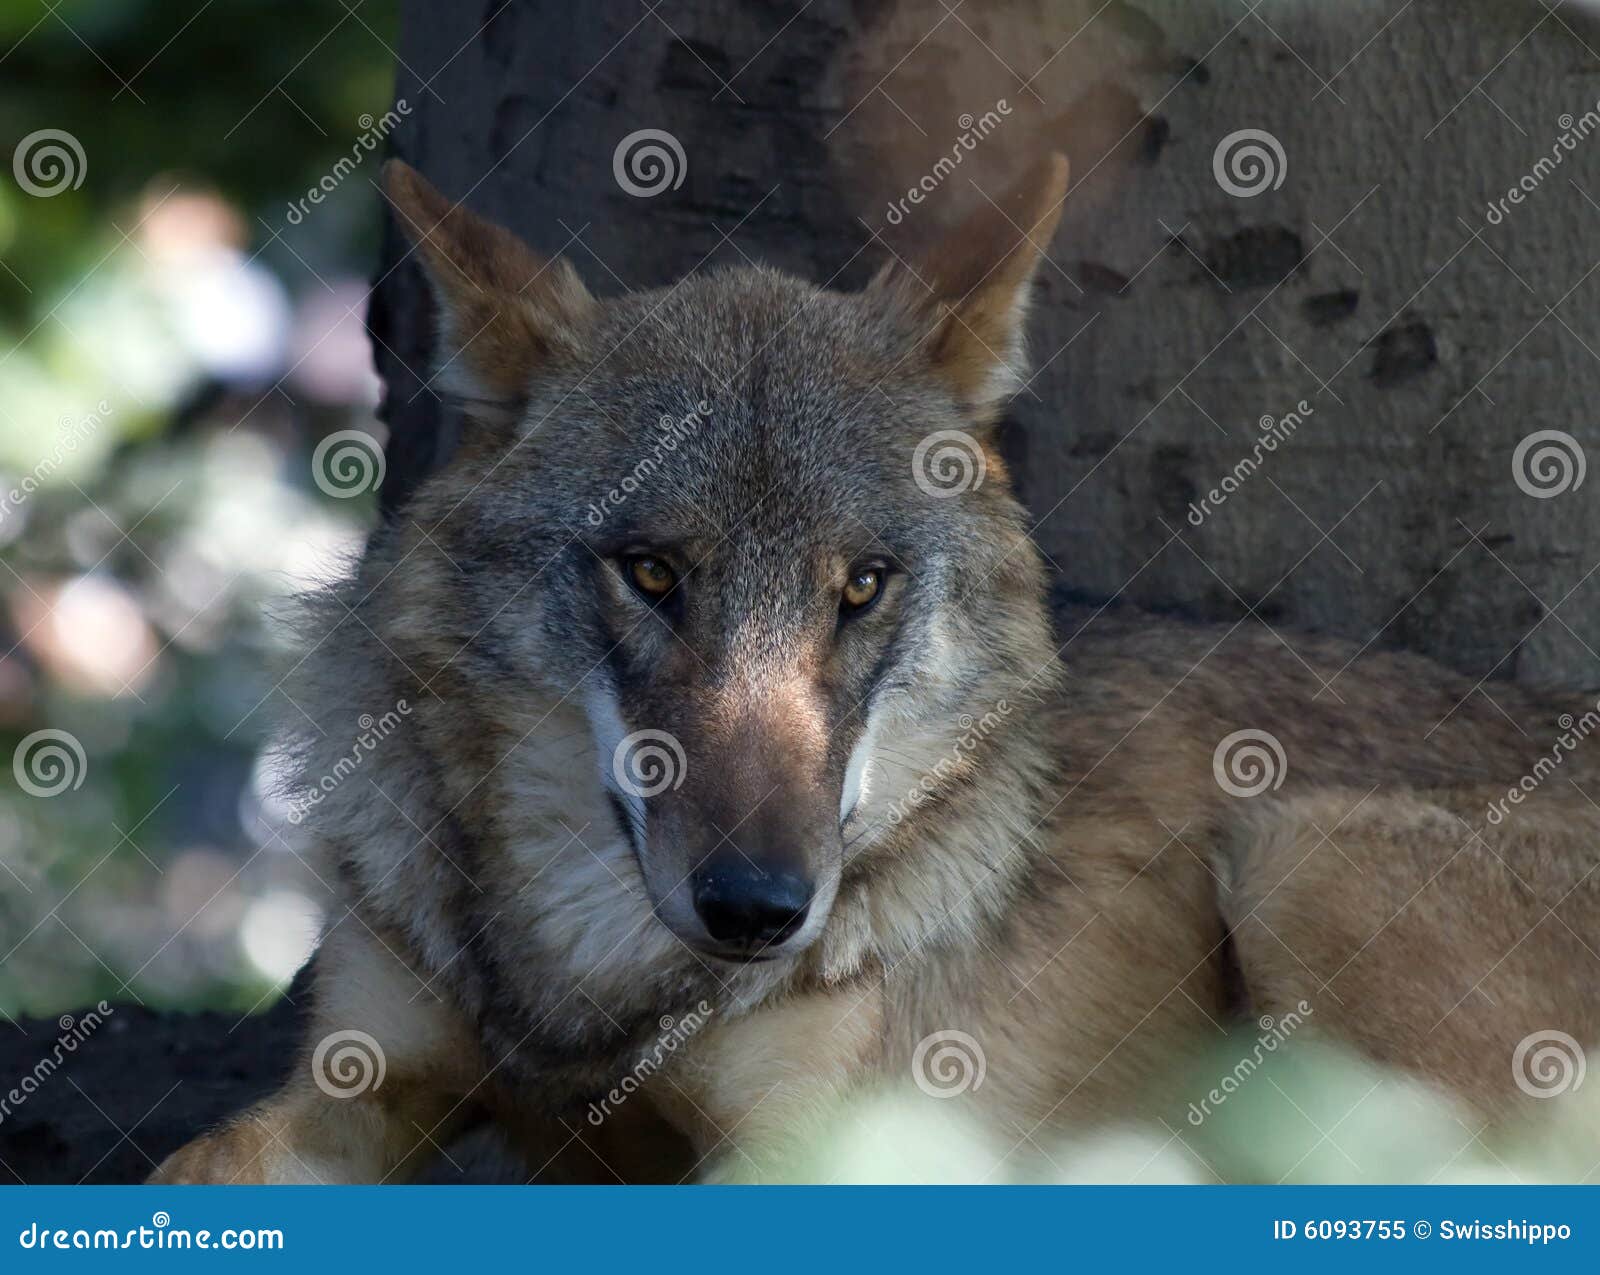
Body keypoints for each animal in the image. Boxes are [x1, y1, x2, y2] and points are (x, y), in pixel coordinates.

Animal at [152, 154, 1600, 1183]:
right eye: (652, 571)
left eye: (861, 585)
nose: (760, 907)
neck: (585, 998)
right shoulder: (359, 1079)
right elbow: (196, 1164)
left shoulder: (810, 1145)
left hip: (1290, 851)